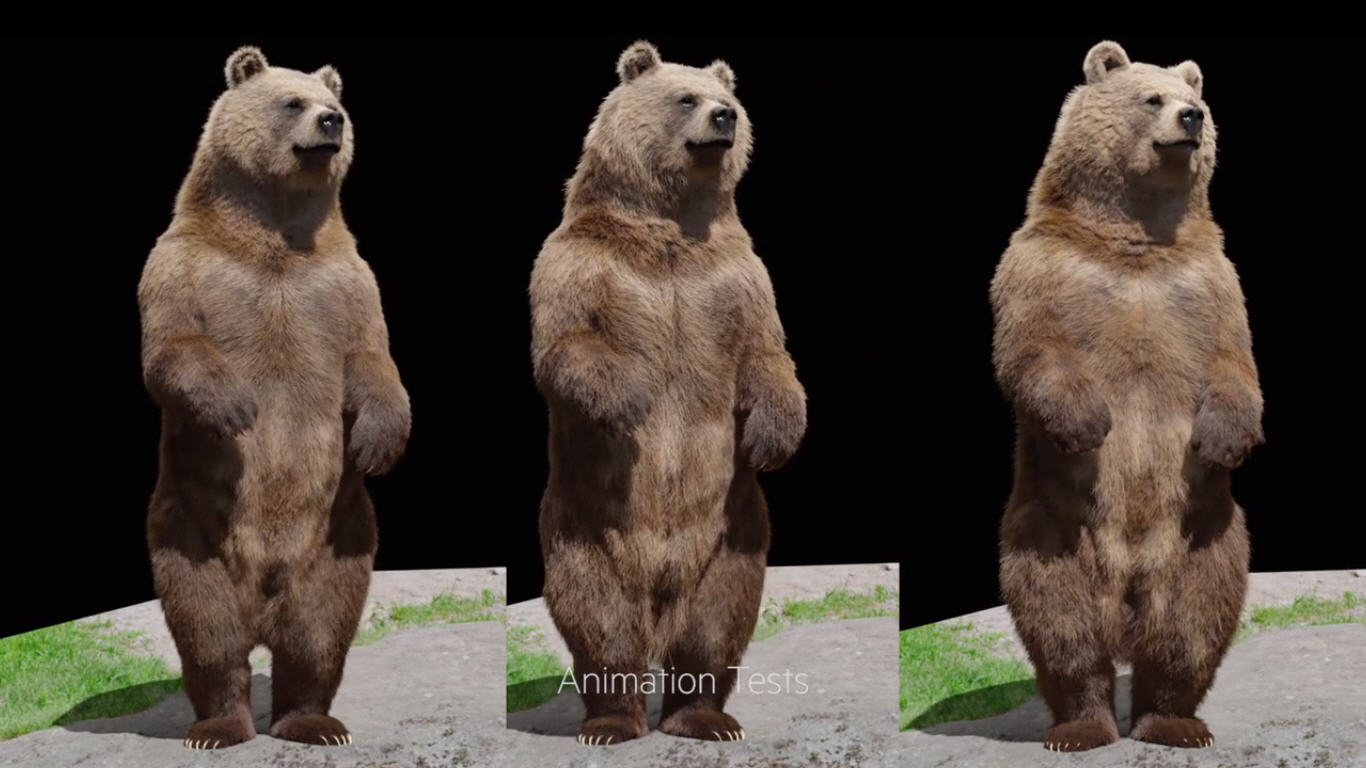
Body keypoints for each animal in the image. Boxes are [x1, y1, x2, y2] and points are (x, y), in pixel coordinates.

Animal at [138, 47, 410, 750]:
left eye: (336, 103)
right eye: (291, 101)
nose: (330, 121)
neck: (275, 232)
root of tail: (262, 605)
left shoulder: (344, 283)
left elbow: (373, 358)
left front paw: (378, 441)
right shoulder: (184, 266)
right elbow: (172, 345)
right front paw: (236, 406)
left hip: (340, 535)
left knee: (319, 632)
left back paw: (312, 720)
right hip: (188, 530)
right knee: (207, 632)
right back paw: (218, 725)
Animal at [529, 41, 806, 746]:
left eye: (730, 99)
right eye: (685, 97)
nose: (723, 116)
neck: (671, 228)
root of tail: (661, 595)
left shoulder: (735, 279)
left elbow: (768, 354)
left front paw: (773, 436)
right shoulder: (581, 265)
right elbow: (566, 343)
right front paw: (628, 399)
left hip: (733, 533)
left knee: (718, 622)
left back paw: (704, 716)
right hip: (584, 529)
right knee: (599, 619)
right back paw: (610, 719)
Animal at [991, 41, 1263, 752]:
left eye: (1197, 98)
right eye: (1152, 97)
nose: (1192, 117)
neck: (1134, 240)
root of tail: (1130, 587)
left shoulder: (1208, 284)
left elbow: (1235, 364)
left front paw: (1223, 436)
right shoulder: (1042, 268)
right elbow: (1031, 348)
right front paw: (1089, 422)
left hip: (1203, 529)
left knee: (1193, 619)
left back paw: (1173, 720)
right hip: (1054, 522)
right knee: (1060, 617)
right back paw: (1081, 724)